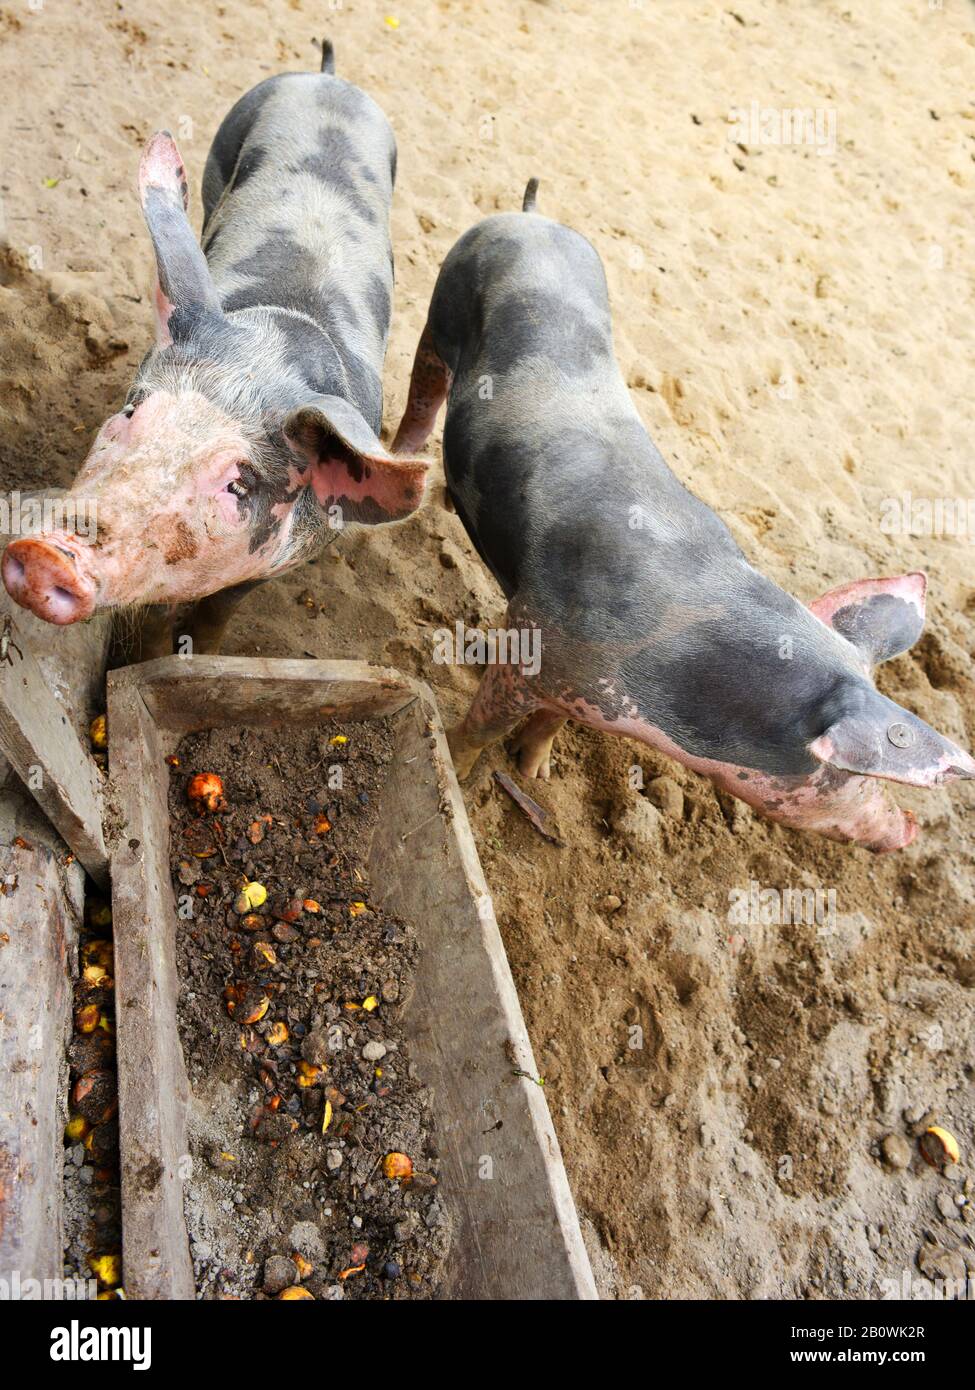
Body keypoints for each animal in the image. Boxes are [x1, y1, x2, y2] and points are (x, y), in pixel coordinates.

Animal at [2, 41, 427, 657]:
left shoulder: (285, 556)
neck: (270, 349)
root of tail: (328, 79)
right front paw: (152, 658)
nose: (46, 555)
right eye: (130, 411)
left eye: (239, 483)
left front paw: (197, 654)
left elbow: (220, 606)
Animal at [391, 181, 975, 851]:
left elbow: (550, 725)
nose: (906, 831)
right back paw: (401, 467)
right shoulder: (537, 642)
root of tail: (529, 218)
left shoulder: (586, 693)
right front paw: (461, 776)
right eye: (850, 776)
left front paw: (535, 771)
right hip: (442, 305)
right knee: (421, 393)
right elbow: (485, 725)